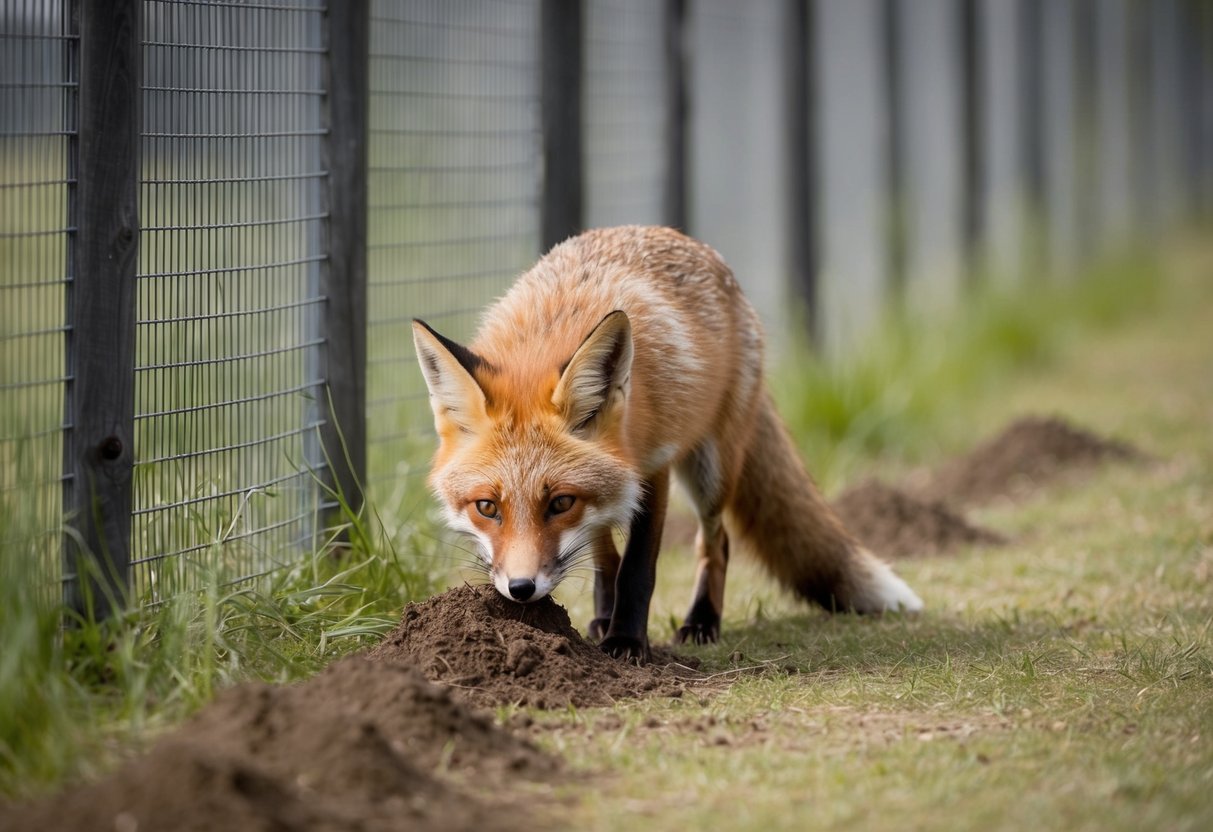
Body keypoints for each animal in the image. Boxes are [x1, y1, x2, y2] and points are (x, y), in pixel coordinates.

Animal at [411, 226, 922, 662]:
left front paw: (626, 642)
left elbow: (638, 569)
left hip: (710, 471)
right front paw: (608, 624)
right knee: (606, 553)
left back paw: (702, 623)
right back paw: (605, 615)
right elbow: (611, 562)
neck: (547, 332)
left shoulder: (651, 466)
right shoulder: (611, 487)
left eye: (559, 504)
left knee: (717, 543)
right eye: (487, 507)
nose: (521, 589)